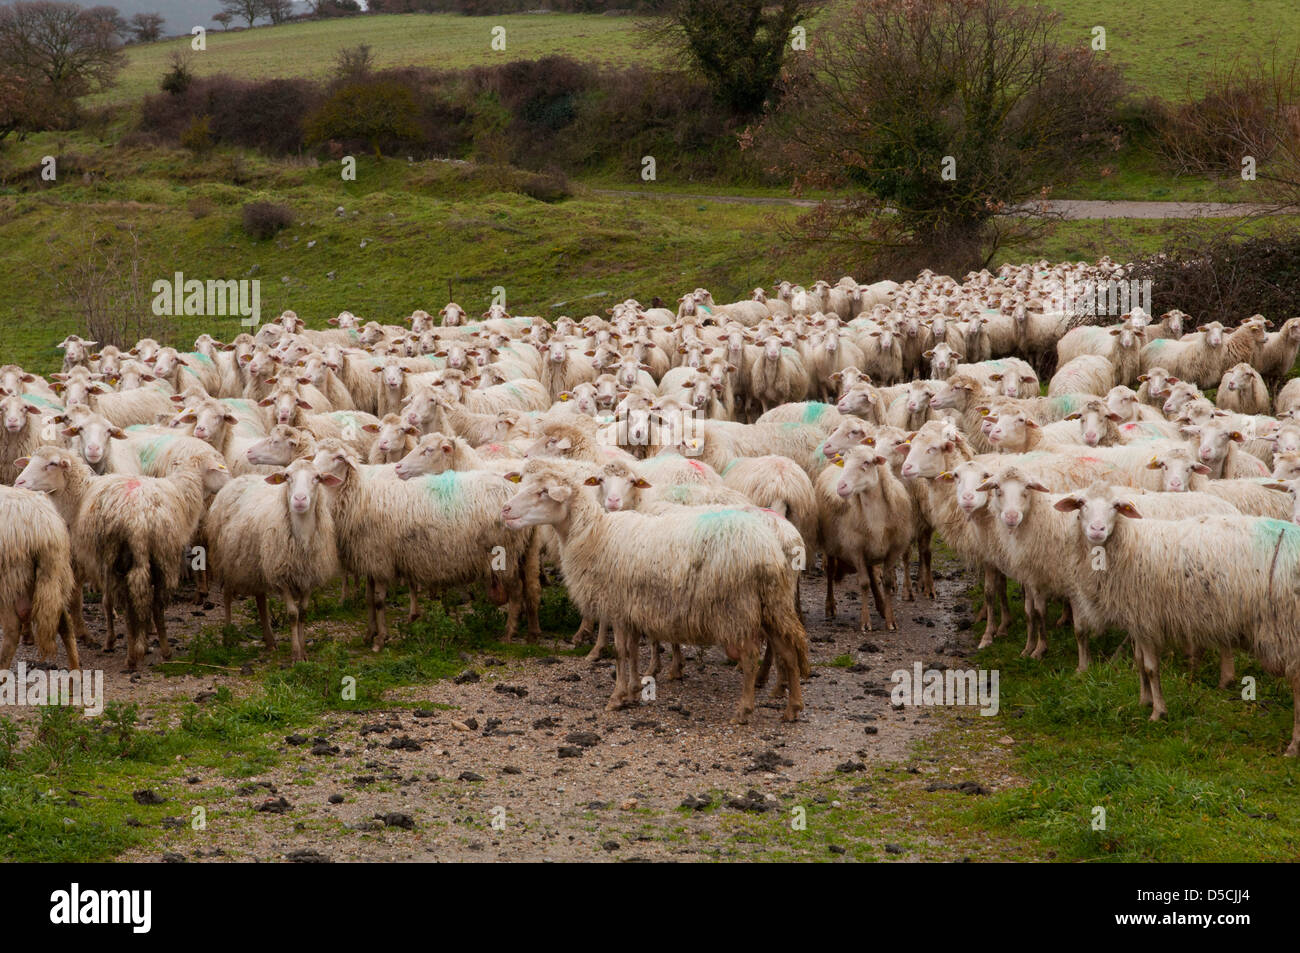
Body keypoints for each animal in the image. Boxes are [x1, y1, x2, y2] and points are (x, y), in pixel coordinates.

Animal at [0, 486, 78, 669]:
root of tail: (43, 526)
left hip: (10, 578)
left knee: (12, 630)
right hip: (53, 577)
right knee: (64, 623)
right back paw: (76, 673)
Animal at [206, 459, 341, 660]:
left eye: (317, 477)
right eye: (287, 476)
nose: (299, 500)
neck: (301, 539)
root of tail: (238, 479)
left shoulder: (309, 577)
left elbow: (303, 613)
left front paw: (304, 651)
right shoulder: (281, 576)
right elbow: (292, 614)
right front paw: (295, 655)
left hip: (255, 563)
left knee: (260, 599)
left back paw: (269, 640)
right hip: (227, 561)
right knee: (227, 595)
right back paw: (228, 637)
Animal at [500, 459, 808, 722]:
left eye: (543, 492)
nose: (505, 510)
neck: (594, 534)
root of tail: (772, 545)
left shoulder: (618, 604)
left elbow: (622, 651)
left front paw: (617, 696)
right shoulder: (633, 607)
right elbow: (633, 649)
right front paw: (635, 689)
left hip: (739, 608)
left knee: (752, 655)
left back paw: (744, 709)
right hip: (772, 603)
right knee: (787, 651)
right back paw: (792, 707)